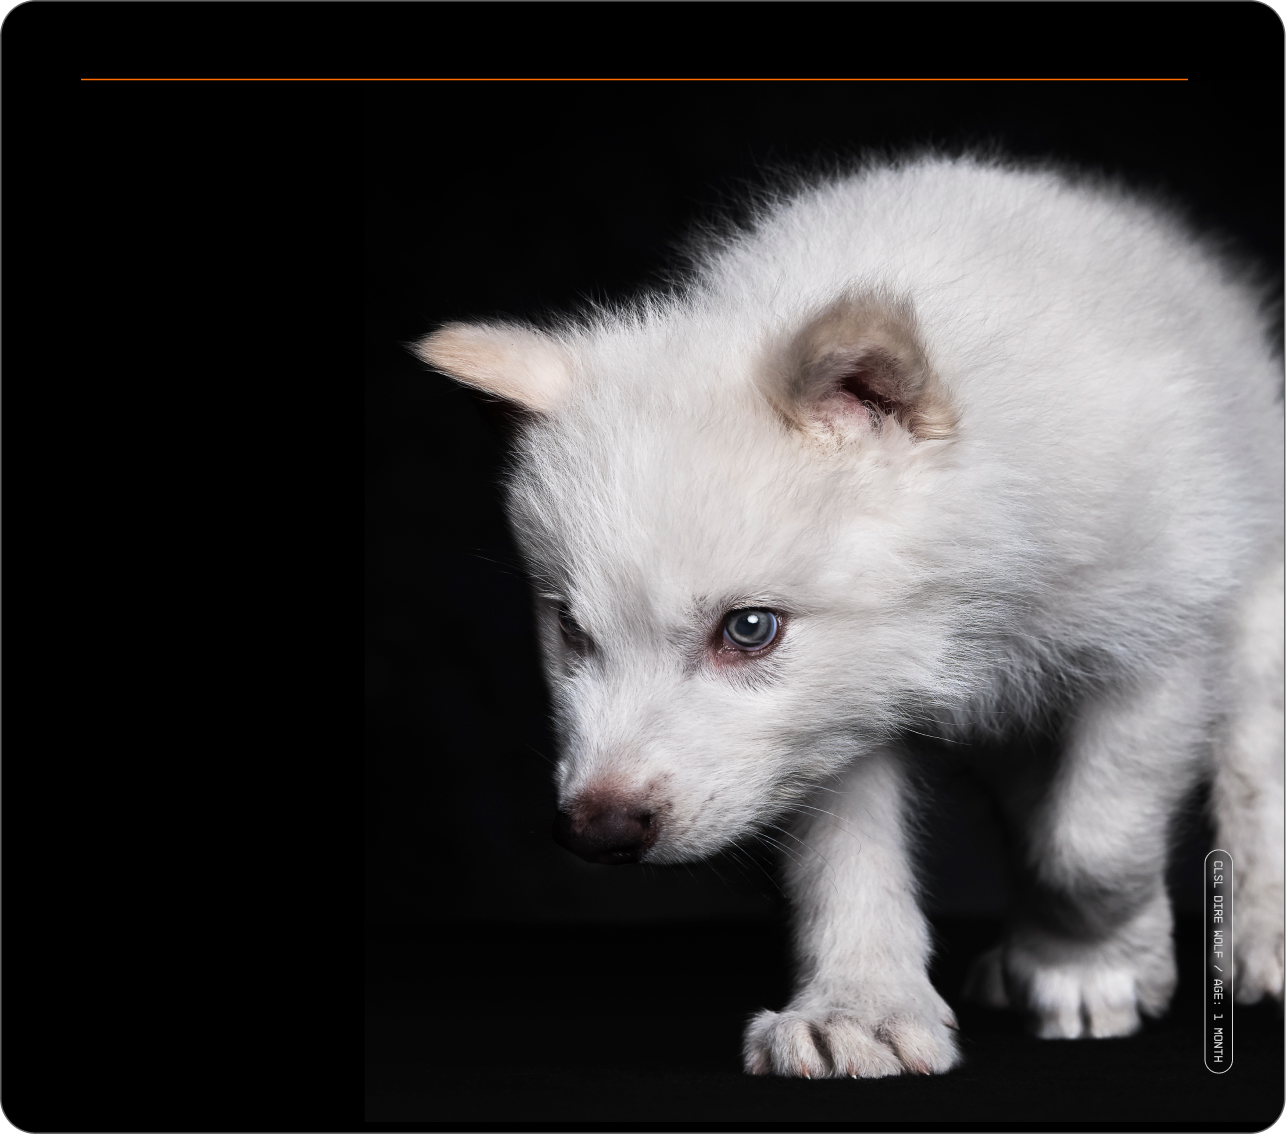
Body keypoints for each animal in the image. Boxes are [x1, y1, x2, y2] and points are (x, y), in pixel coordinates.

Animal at [417, 155, 1284, 1077]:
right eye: (571, 632)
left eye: (748, 629)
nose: (595, 831)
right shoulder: (829, 721)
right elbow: (849, 864)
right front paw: (861, 1012)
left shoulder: (1161, 648)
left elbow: (1090, 845)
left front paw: (1089, 966)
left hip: (1253, 604)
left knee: (1252, 757)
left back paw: (1258, 938)